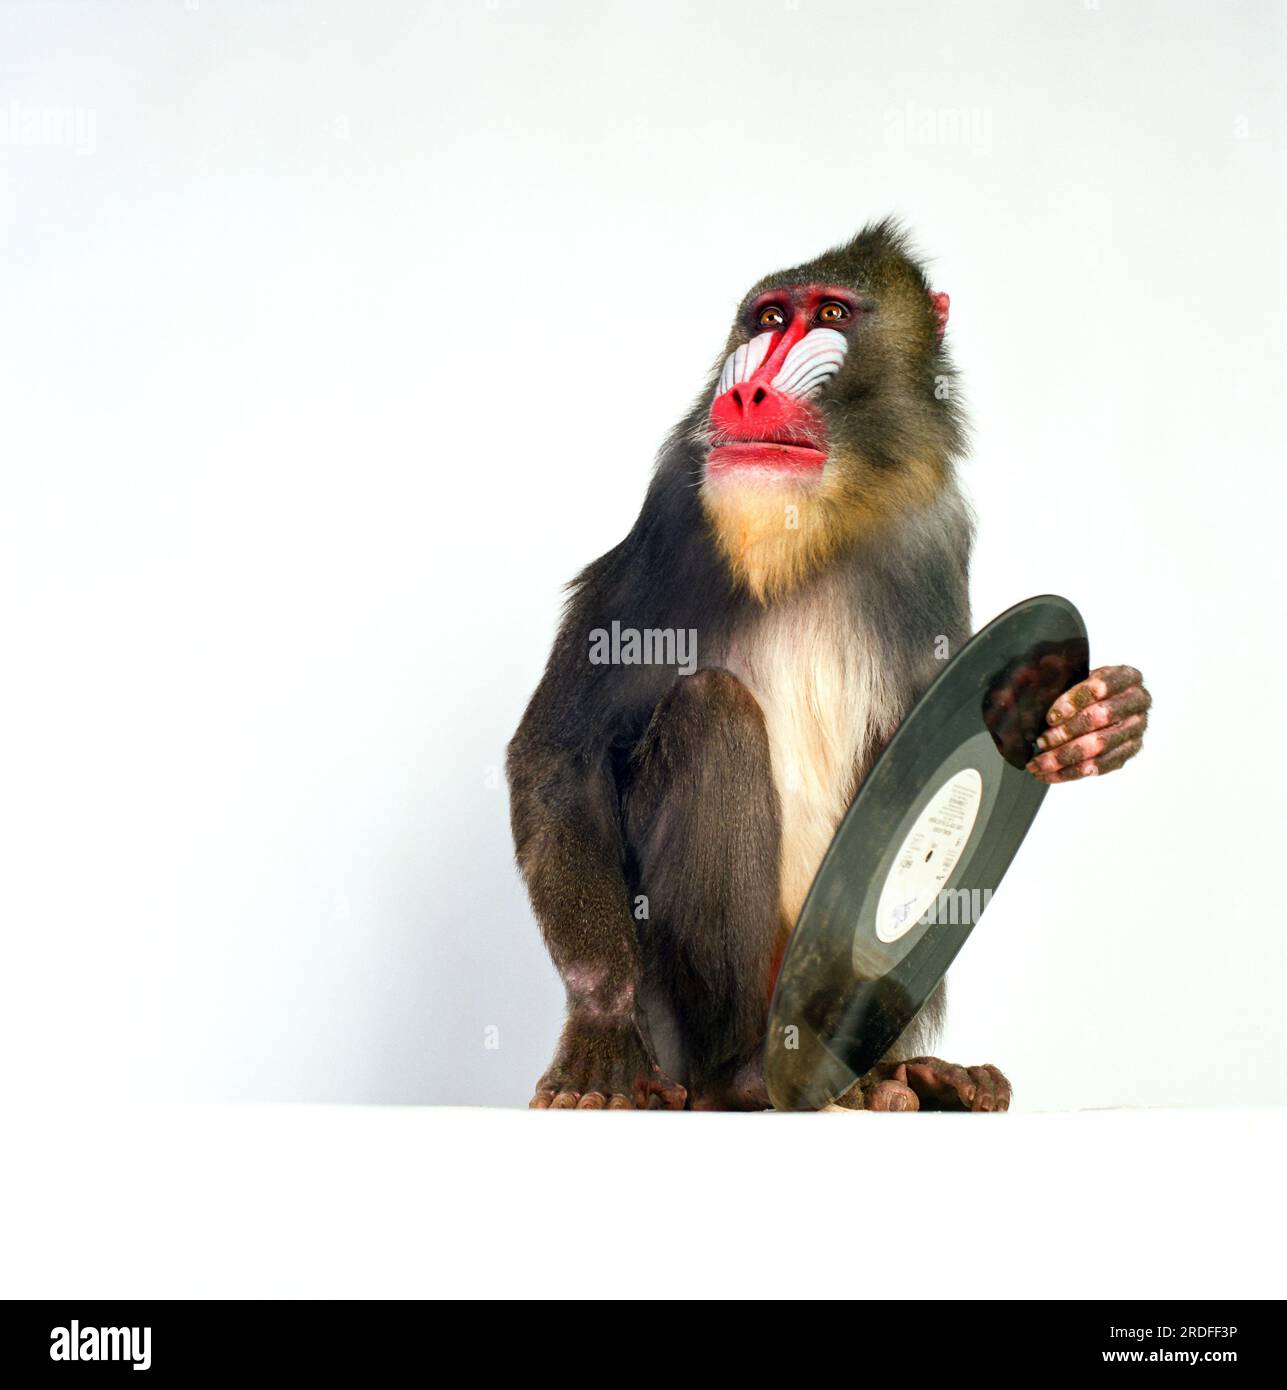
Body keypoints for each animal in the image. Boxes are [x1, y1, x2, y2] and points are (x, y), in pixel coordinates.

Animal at [506, 220, 1151, 1112]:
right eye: (770, 318)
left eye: (832, 314)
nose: (746, 394)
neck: (822, 523)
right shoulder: (672, 519)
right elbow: (559, 754)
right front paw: (598, 1033)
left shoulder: (936, 537)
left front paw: (1099, 722)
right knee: (711, 710)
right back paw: (738, 1080)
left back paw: (909, 1076)